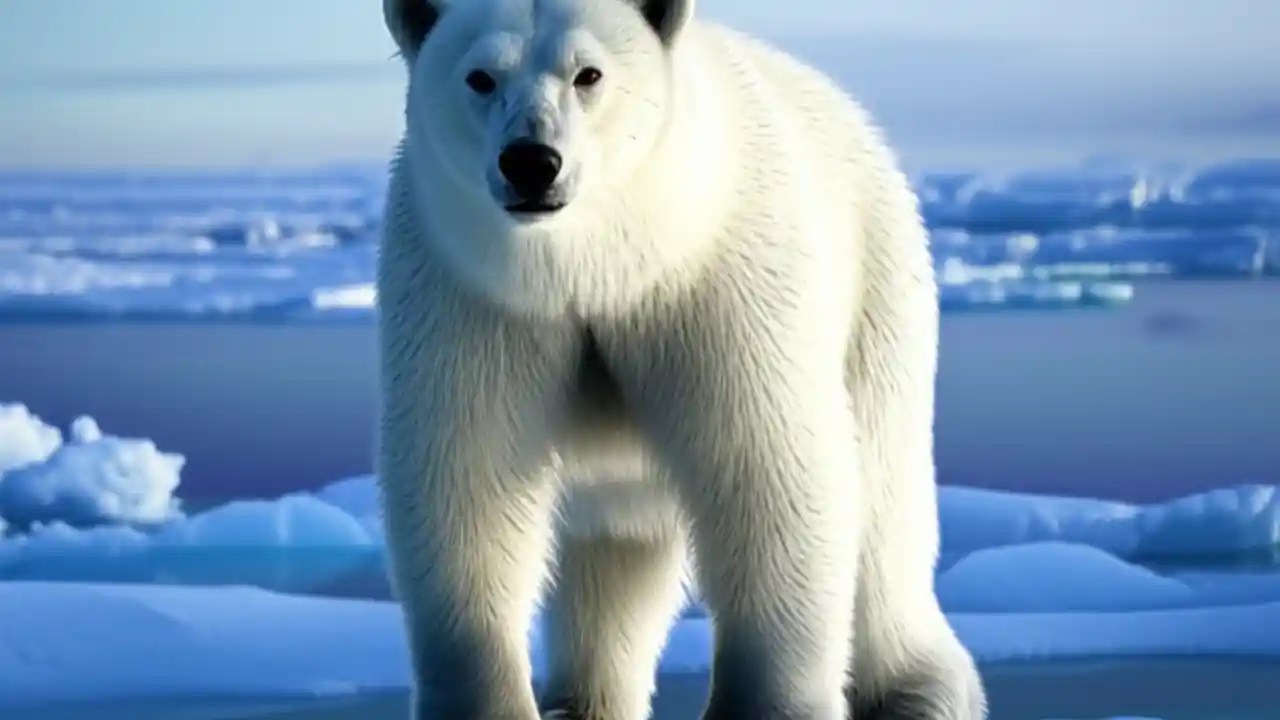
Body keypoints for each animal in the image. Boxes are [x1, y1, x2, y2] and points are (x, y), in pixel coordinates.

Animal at [376, 0, 987, 718]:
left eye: (588, 73)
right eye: (479, 77)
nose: (531, 161)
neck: (601, 267)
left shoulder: (717, 286)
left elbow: (766, 472)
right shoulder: (474, 302)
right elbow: (467, 478)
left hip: (879, 294)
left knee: (885, 512)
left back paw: (917, 692)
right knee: (619, 550)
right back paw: (585, 698)